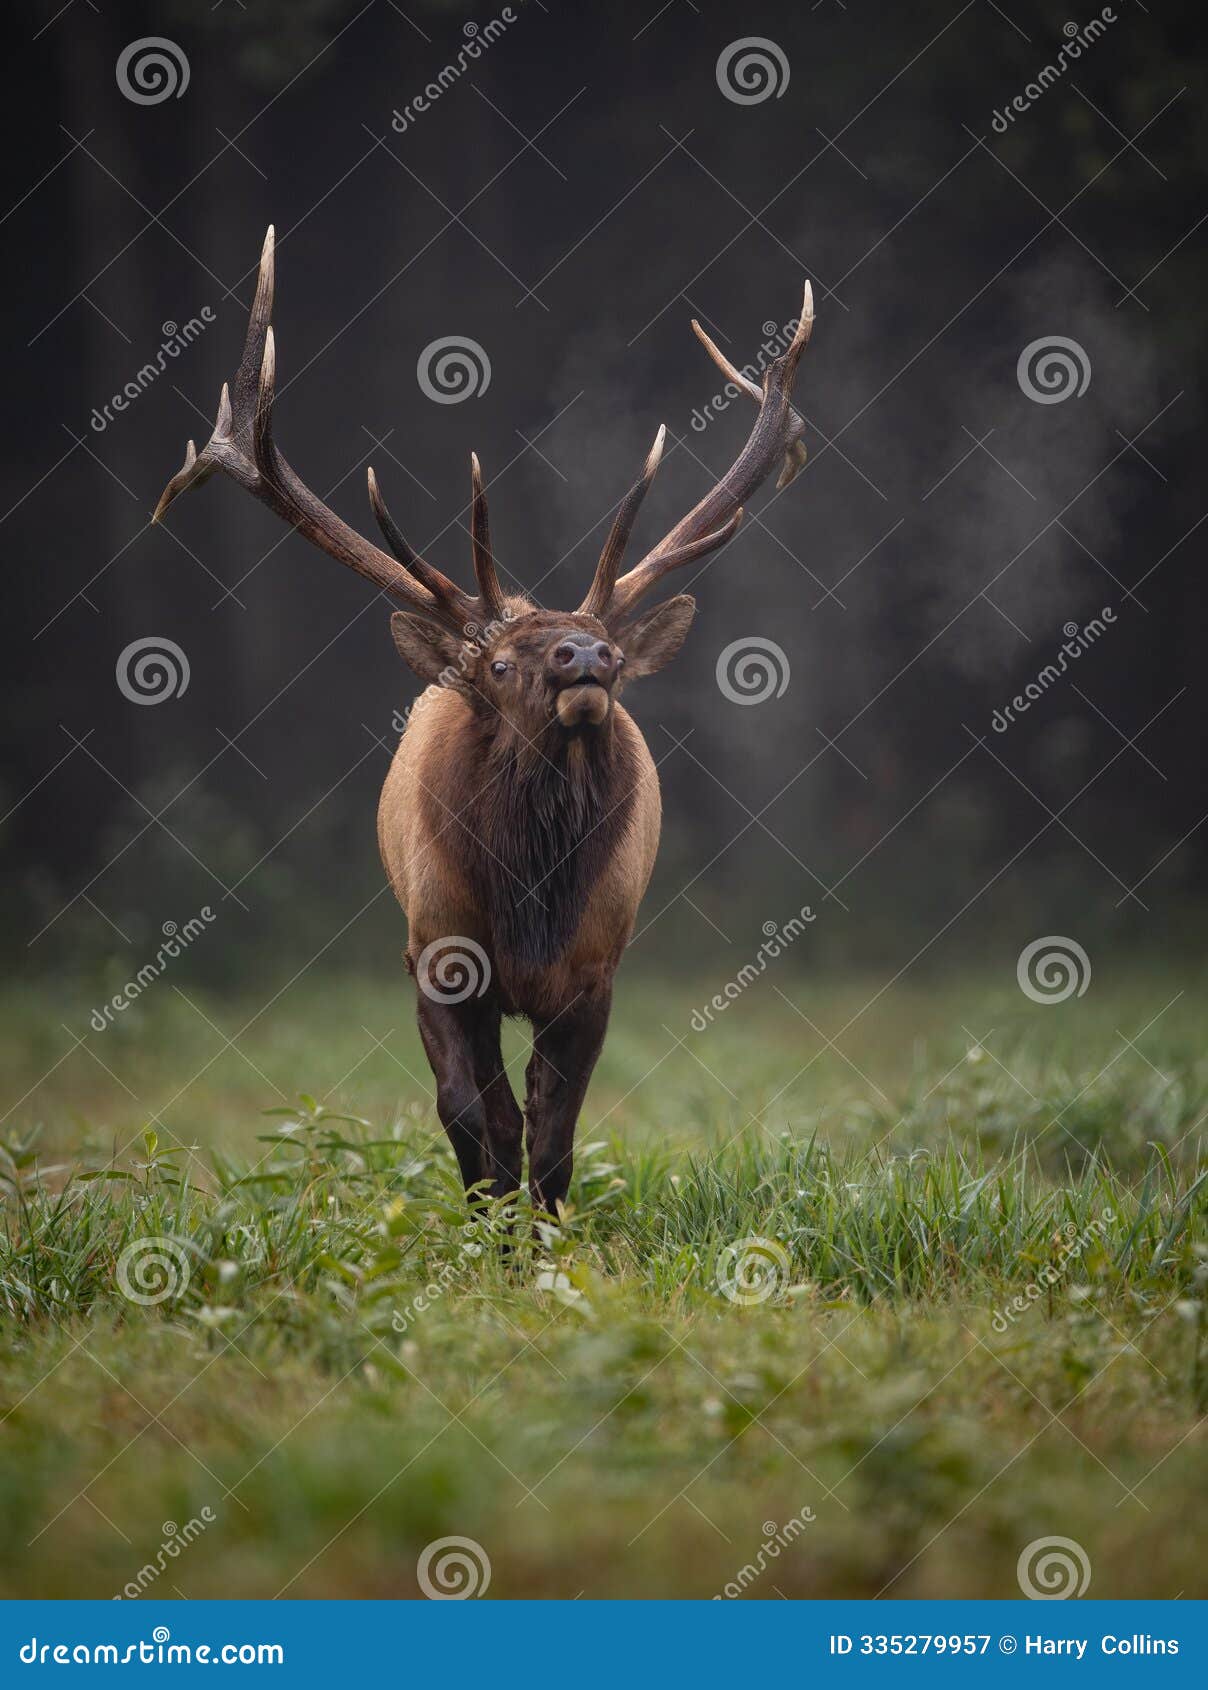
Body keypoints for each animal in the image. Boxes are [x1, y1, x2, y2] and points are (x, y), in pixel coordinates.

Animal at [154, 227, 813, 1219]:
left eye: (613, 658)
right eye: (499, 665)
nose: (586, 657)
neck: (526, 903)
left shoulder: (594, 970)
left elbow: (556, 1128)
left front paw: (540, 1230)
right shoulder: (433, 949)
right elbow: (471, 1110)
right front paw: (485, 1225)